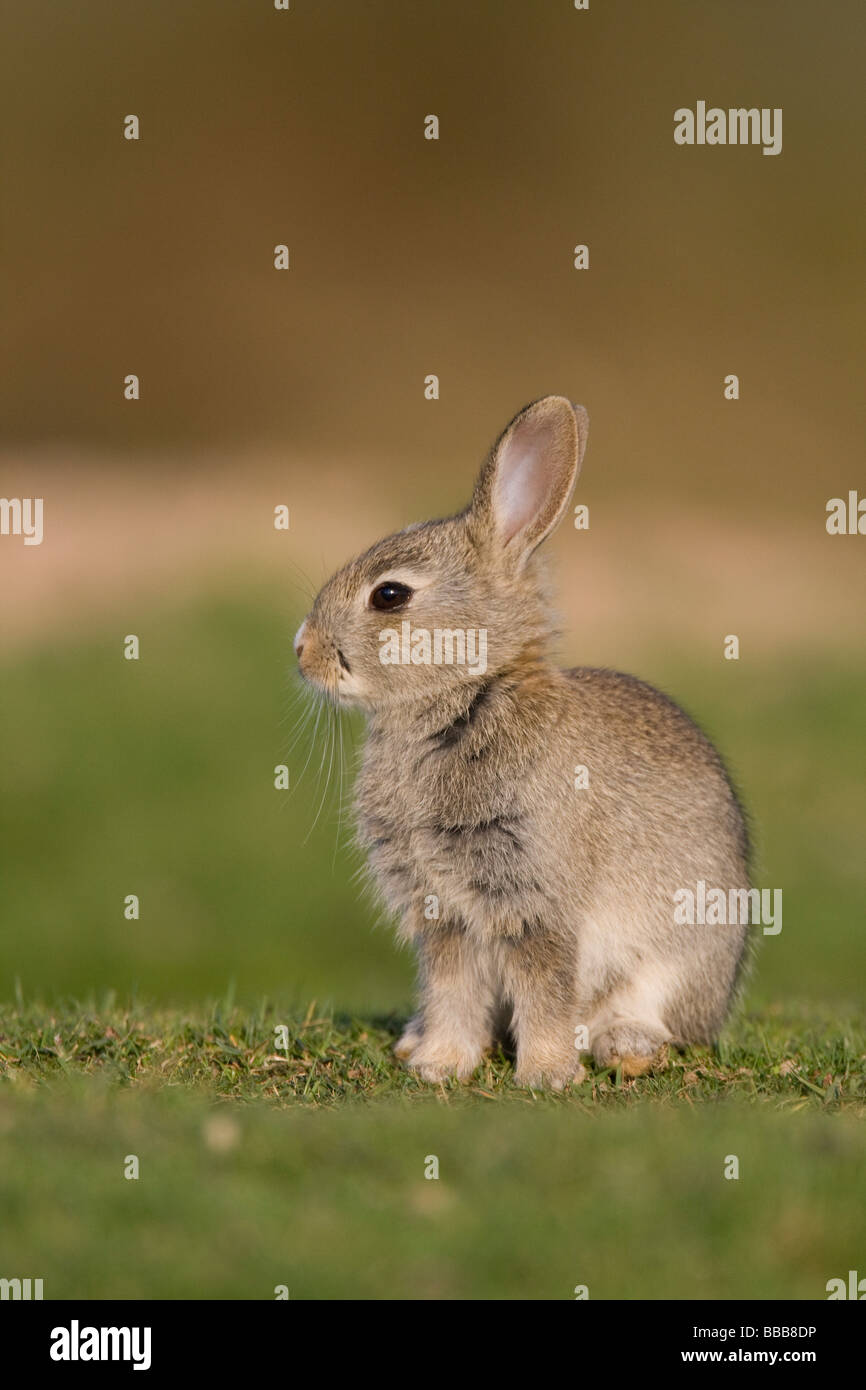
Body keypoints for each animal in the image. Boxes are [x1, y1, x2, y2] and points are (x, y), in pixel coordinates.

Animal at [294, 396, 751, 1088]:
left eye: (390, 595)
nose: (301, 650)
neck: (467, 695)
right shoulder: (444, 912)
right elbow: (453, 989)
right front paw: (439, 1064)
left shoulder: (535, 897)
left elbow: (544, 987)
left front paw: (545, 1075)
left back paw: (628, 1048)